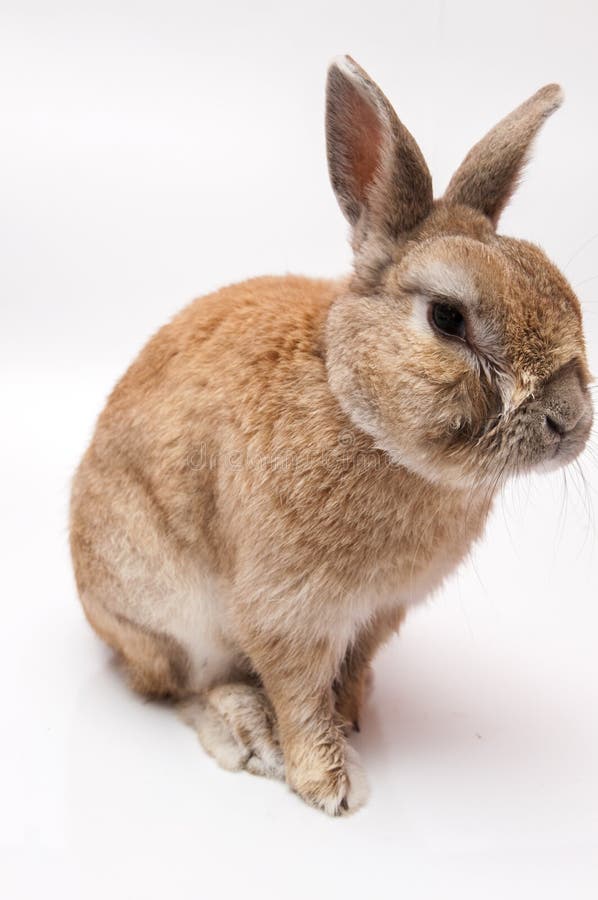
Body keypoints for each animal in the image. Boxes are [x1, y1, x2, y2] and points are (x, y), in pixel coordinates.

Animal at [70, 55, 593, 816]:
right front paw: (328, 783)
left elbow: (348, 670)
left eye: (560, 289)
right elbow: (298, 695)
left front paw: (354, 713)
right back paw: (248, 733)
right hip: (163, 607)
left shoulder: (379, 613)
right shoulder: (286, 612)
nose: (571, 419)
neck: (358, 412)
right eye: (447, 319)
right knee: (177, 685)